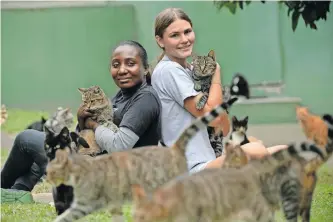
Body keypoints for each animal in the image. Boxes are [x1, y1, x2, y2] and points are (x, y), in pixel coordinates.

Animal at [46, 97, 237, 222]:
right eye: (46, 147)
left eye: (56, 149)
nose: (47, 177)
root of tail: (174, 148)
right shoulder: (106, 205)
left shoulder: (86, 203)